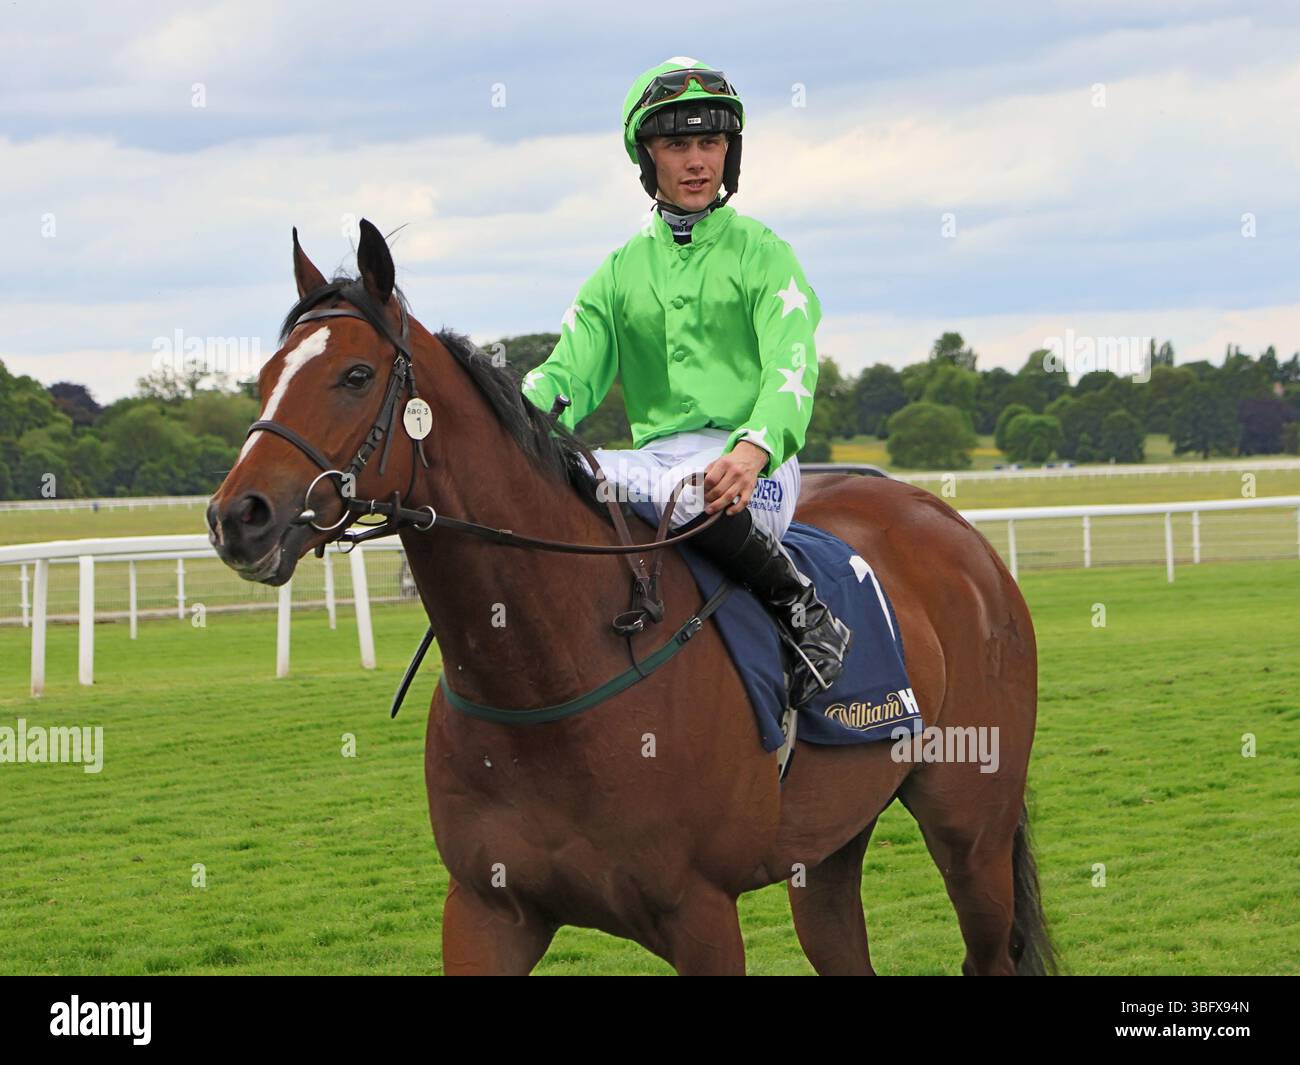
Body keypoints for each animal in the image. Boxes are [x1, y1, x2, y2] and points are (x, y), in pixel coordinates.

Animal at [207, 219, 1056, 975]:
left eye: (354, 375)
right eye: (266, 376)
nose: (237, 515)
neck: (546, 676)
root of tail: (958, 532)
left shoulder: (702, 914)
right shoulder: (485, 910)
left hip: (971, 826)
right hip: (829, 844)